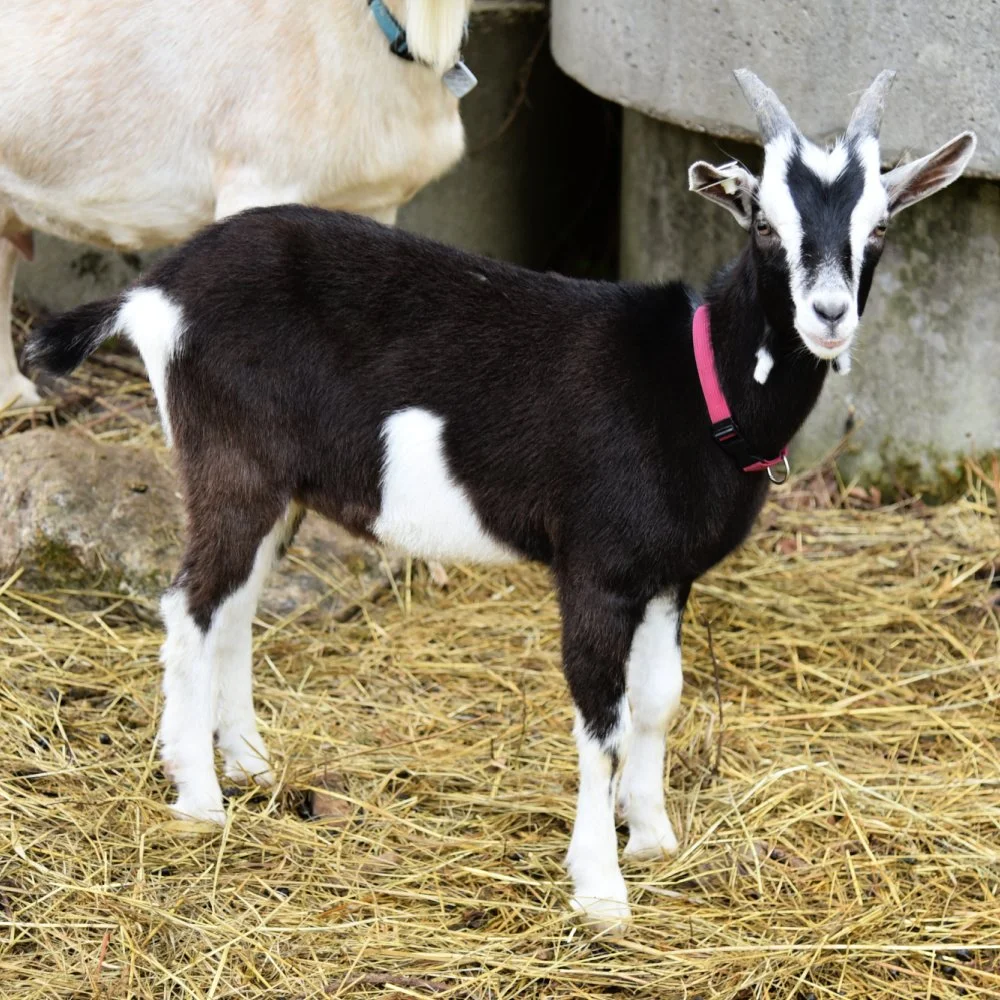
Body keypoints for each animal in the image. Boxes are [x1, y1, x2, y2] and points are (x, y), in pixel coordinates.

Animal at [26, 69, 975, 931]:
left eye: (879, 226)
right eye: (766, 225)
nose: (828, 315)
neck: (696, 381)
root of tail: (155, 292)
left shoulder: (668, 576)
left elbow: (660, 699)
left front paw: (653, 837)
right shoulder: (598, 568)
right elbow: (602, 714)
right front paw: (600, 890)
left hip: (278, 488)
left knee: (233, 606)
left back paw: (249, 763)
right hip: (231, 464)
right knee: (188, 603)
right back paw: (197, 795)